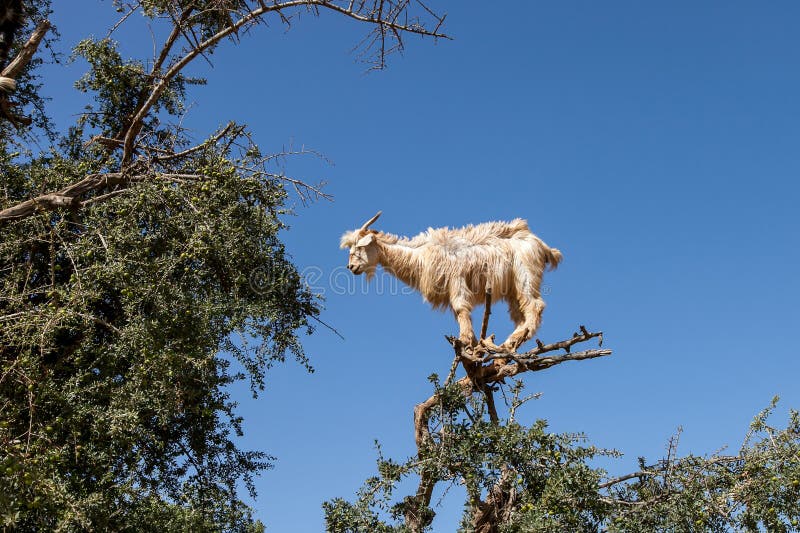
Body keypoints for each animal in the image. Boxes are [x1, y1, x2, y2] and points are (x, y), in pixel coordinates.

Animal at [340, 212, 562, 351]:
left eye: (359, 247)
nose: (351, 267)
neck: (421, 255)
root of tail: (541, 245)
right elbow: (459, 313)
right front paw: (472, 342)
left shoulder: (456, 280)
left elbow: (461, 307)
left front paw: (465, 341)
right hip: (513, 288)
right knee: (520, 314)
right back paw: (510, 343)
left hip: (525, 275)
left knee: (535, 305)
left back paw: (512, 341)